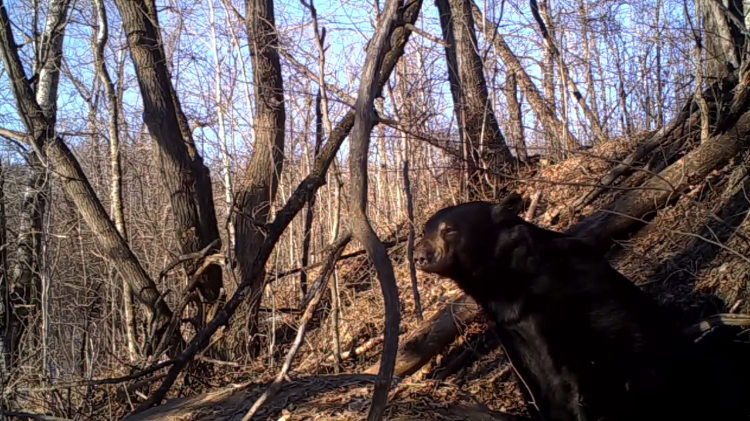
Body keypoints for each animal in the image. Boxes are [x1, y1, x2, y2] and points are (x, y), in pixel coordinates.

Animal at [412, 193, 719, 421]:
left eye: (449, 231)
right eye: (425, 231)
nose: (419, 256)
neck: (507, 284)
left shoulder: (557, 308)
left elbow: (577, 374)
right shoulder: (508, 328)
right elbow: (534, 383)